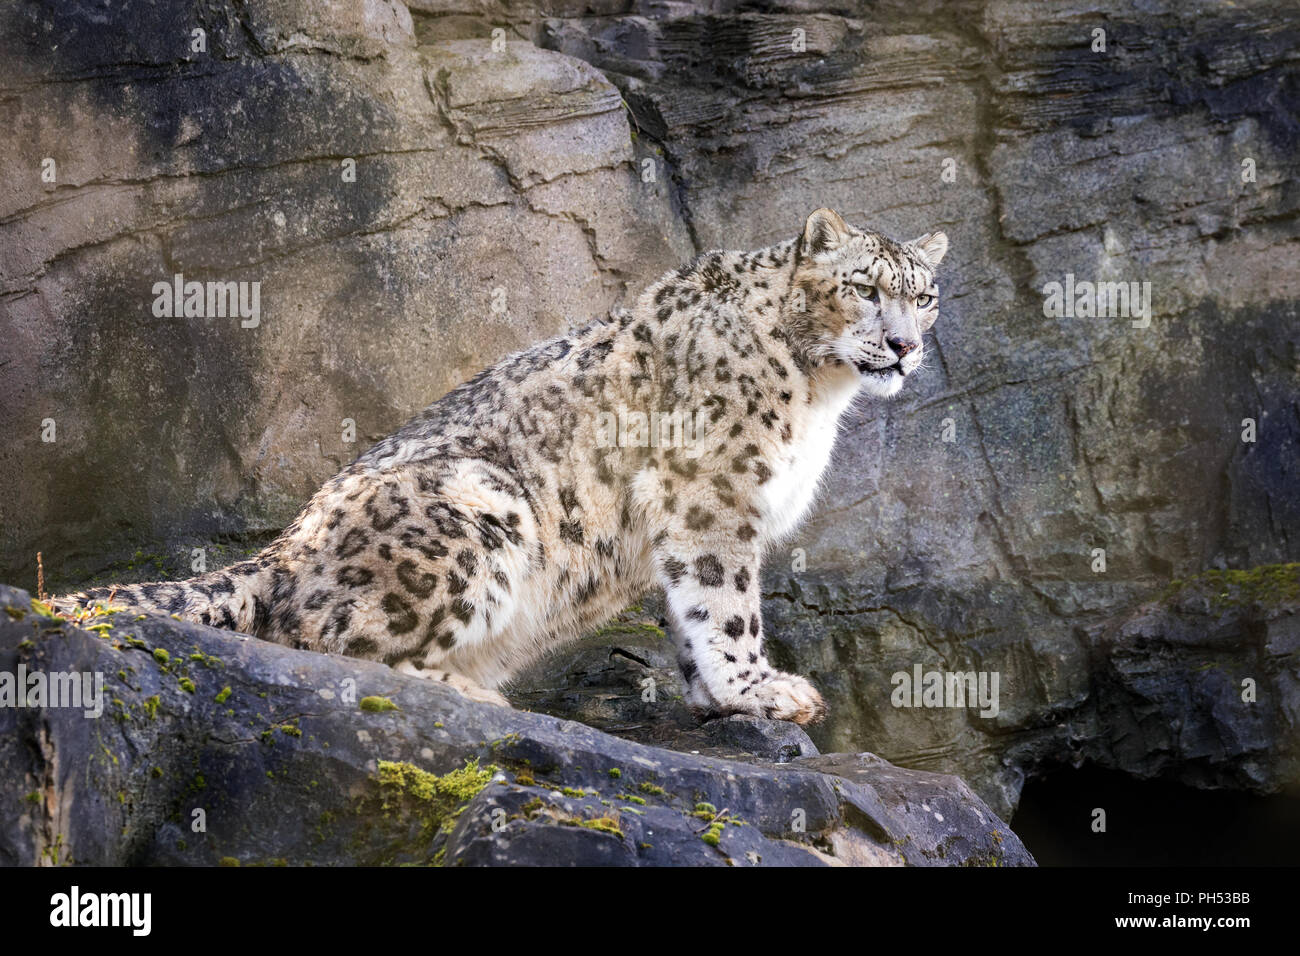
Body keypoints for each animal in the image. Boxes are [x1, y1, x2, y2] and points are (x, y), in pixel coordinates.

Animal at [57, 208, 948, 725]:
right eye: (863, 286)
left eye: (924, 295)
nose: (904, 345)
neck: (820, 393)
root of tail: (283, 547)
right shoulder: (713, 496)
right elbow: (725, 600)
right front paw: (760, 689)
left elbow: (689, 606)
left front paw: (710, 695)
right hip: (478, 506)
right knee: (322, 640)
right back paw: (470, 689)